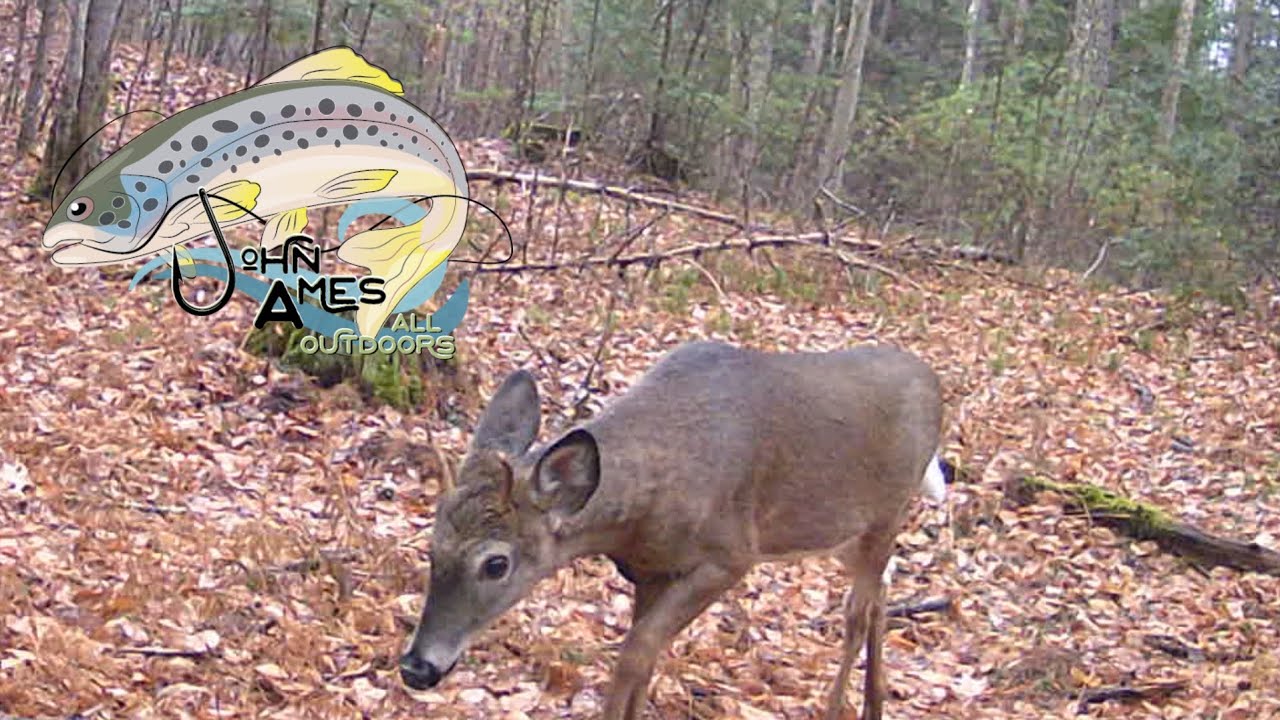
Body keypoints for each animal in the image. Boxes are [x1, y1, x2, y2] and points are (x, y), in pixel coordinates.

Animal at [400, 340, 946, 720]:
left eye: (496, 563)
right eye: (431, 547)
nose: (416, 667)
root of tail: (934, 384)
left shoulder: (731, 554)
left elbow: (634, 654)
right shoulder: (651, 570)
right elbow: (644, 658)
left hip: (887, 513)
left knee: (857, 612)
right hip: (840, 533)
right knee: (881, 592)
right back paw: (876, 702)